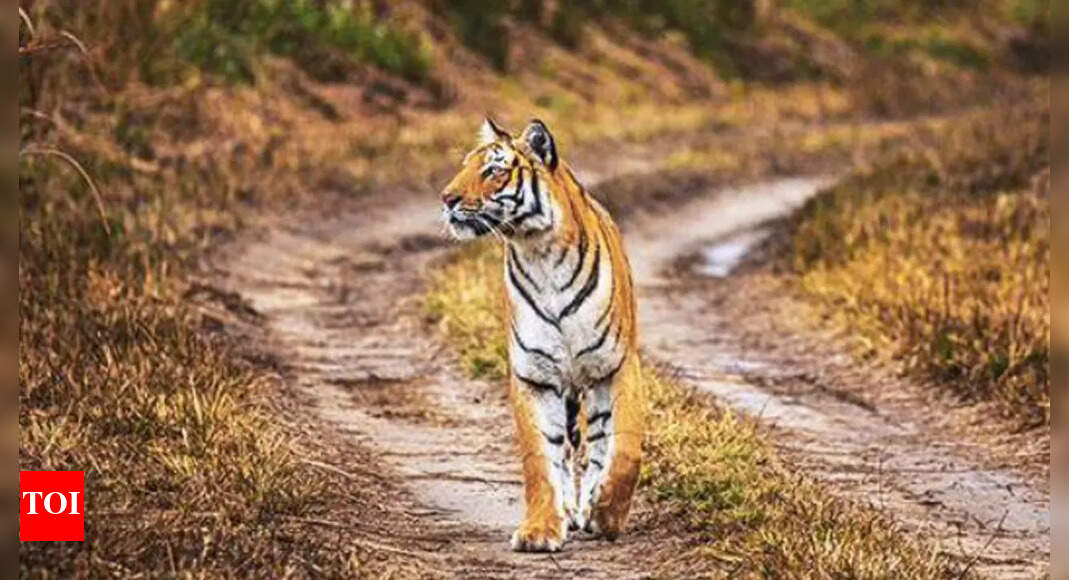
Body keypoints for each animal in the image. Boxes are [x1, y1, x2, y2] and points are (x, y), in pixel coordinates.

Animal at [439, 118, 645, 552]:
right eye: (465, 166)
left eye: (493, 170)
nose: (447, 198)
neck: (539, 252)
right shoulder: (534, 375)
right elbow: (540, 459)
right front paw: (540, 530)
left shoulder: (617, 366)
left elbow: (625, 451)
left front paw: (607, 514)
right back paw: (570, 509)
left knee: (598, 442)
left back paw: (589, 506)